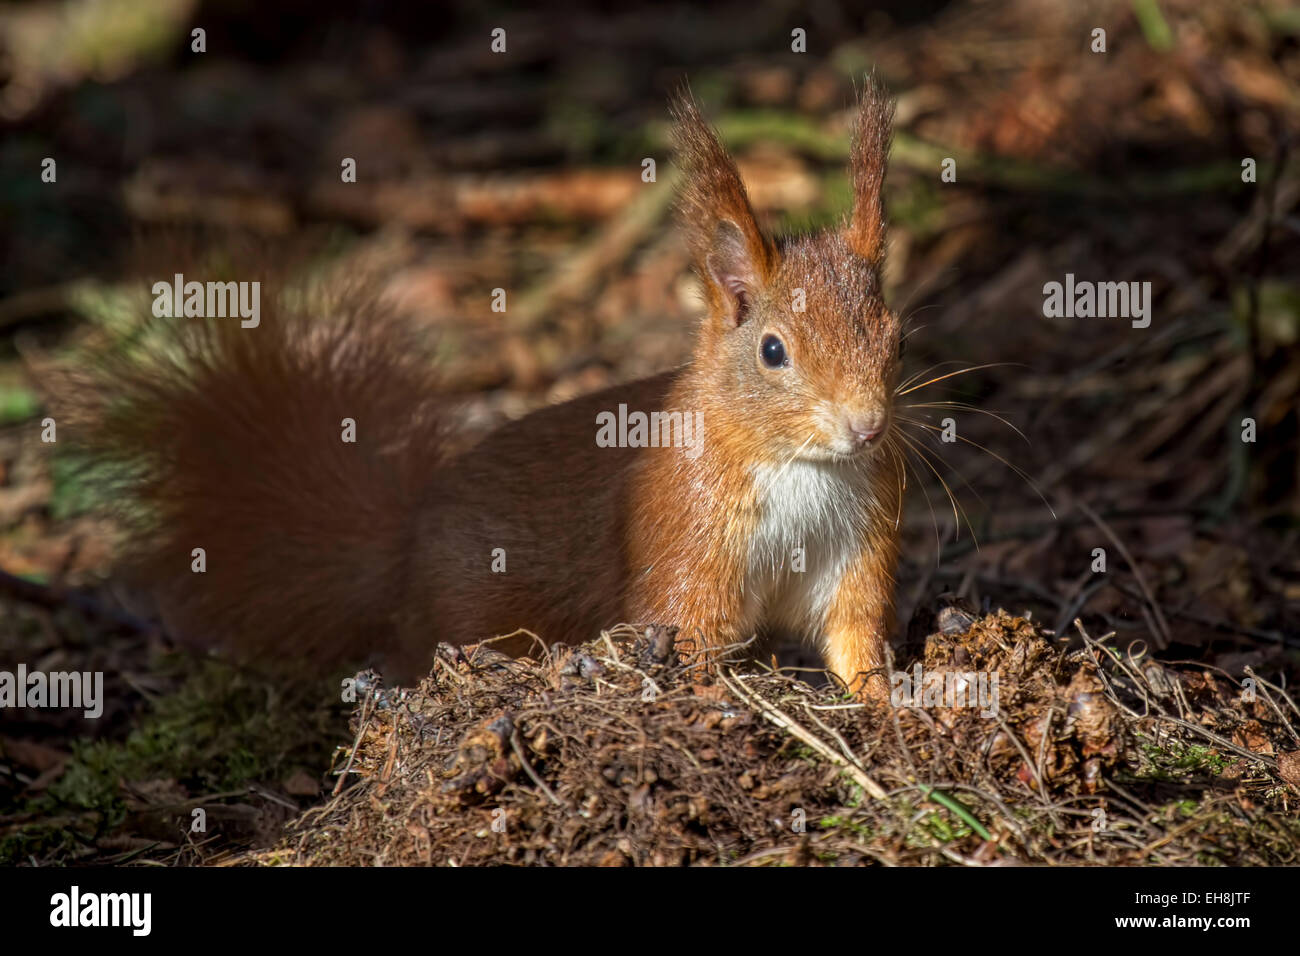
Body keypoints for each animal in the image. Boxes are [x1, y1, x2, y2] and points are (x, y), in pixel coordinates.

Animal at [60, 79, 904, 698]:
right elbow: (686, 630)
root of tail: (401, 552)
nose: (866, 427)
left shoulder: (855, 546)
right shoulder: (683, 540)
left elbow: (854, 633)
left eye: (895, 337)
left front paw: (882, 705)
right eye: (773, 351)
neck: (799, 467)